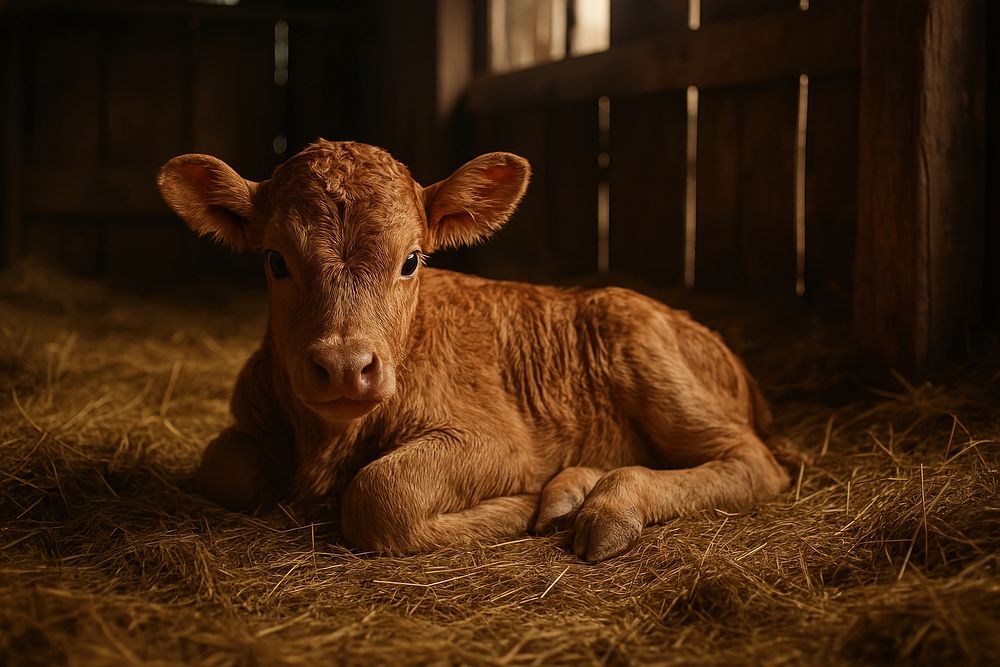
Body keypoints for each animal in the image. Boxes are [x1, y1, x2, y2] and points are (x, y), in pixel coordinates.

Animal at [157, 140, 795, 562]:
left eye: (411, 260)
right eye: (276, 260)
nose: (343, 366)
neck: (325, 445)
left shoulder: (504, 442)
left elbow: (380, 493)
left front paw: (521, 503)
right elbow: (227, 464)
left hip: (650, 354)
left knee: (750, 460)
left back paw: (603, 507)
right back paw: (572, 492)